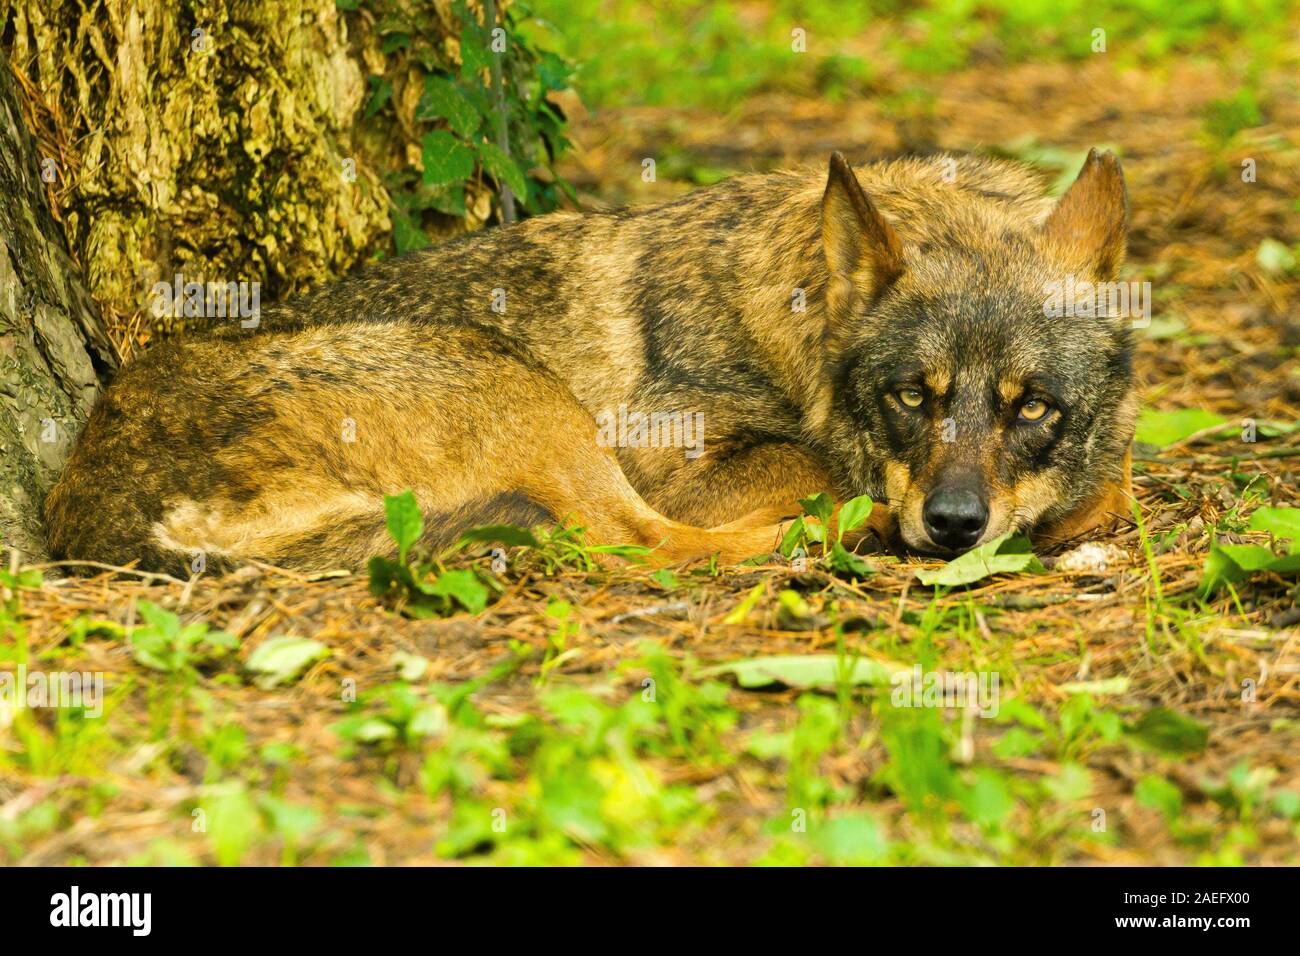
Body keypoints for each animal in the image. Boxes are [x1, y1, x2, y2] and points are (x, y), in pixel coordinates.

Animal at [44, 149, 1135, 575]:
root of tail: (92, 507)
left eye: (1033, 408)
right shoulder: (680, 462)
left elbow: (1111, 479)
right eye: (912, 395)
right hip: (516, 385)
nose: (953, 524)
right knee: (634, 543)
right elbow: (817, 466)